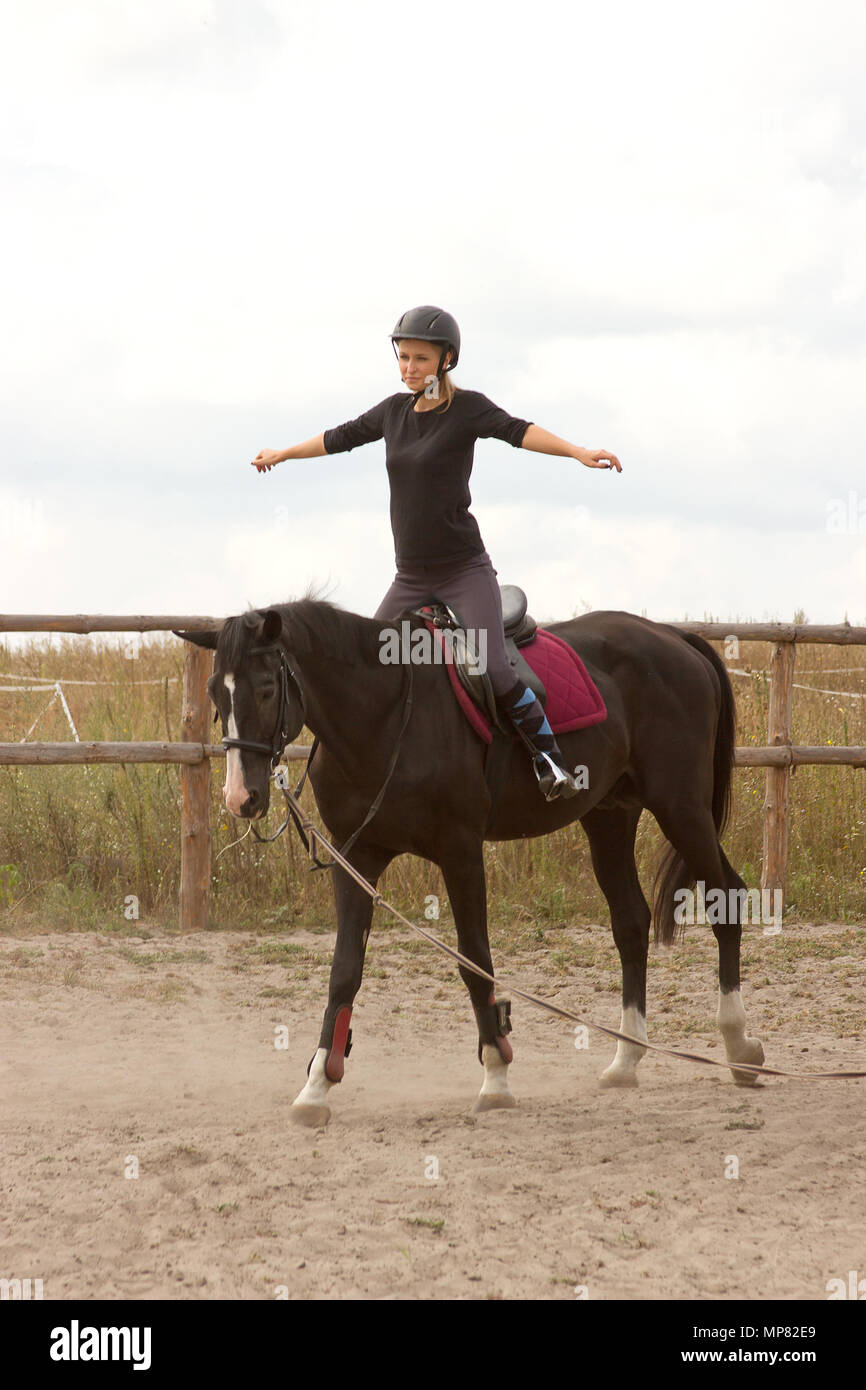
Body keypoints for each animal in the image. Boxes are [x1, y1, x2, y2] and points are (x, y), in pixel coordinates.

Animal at [177, 596, 764, 1126]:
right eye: (215, 694)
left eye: (266, 688)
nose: (241, 797)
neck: (383, 716)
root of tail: (671, 636)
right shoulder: (356, 859)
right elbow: (344, 972)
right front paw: (317, 1086)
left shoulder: (460, 852)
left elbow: (473, 959)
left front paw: (496, 1077)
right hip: (609, 817)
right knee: (630, 922)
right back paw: (626, 1059)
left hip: (681, 807)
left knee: (727, 898)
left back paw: (739, 1048)